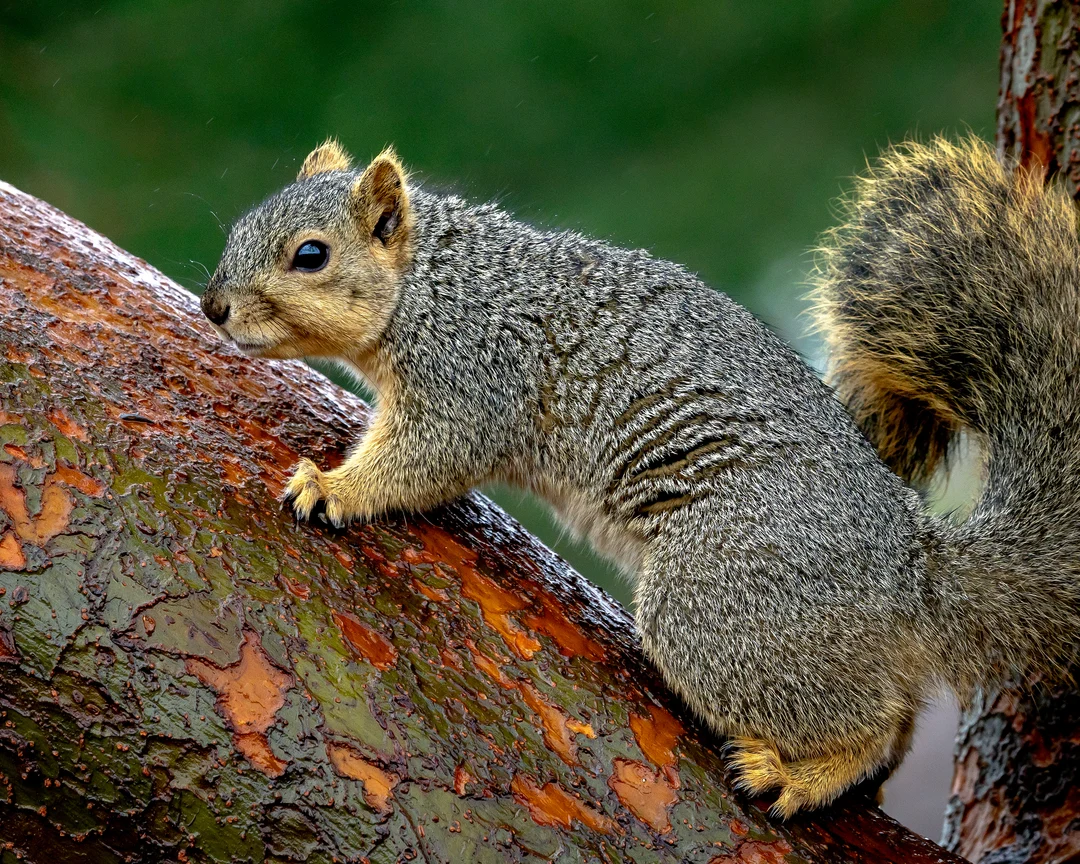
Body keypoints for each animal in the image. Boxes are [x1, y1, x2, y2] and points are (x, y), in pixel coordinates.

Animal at [201, 137, 1080, 817]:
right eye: (239, 226)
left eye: (310, 255)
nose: (213, 307)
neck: (430, 281)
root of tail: (909, 569)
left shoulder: (473, 374)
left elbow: (429, 457)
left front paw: (335, 487)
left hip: (721, 599)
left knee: (863, 720)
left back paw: (806, 773)